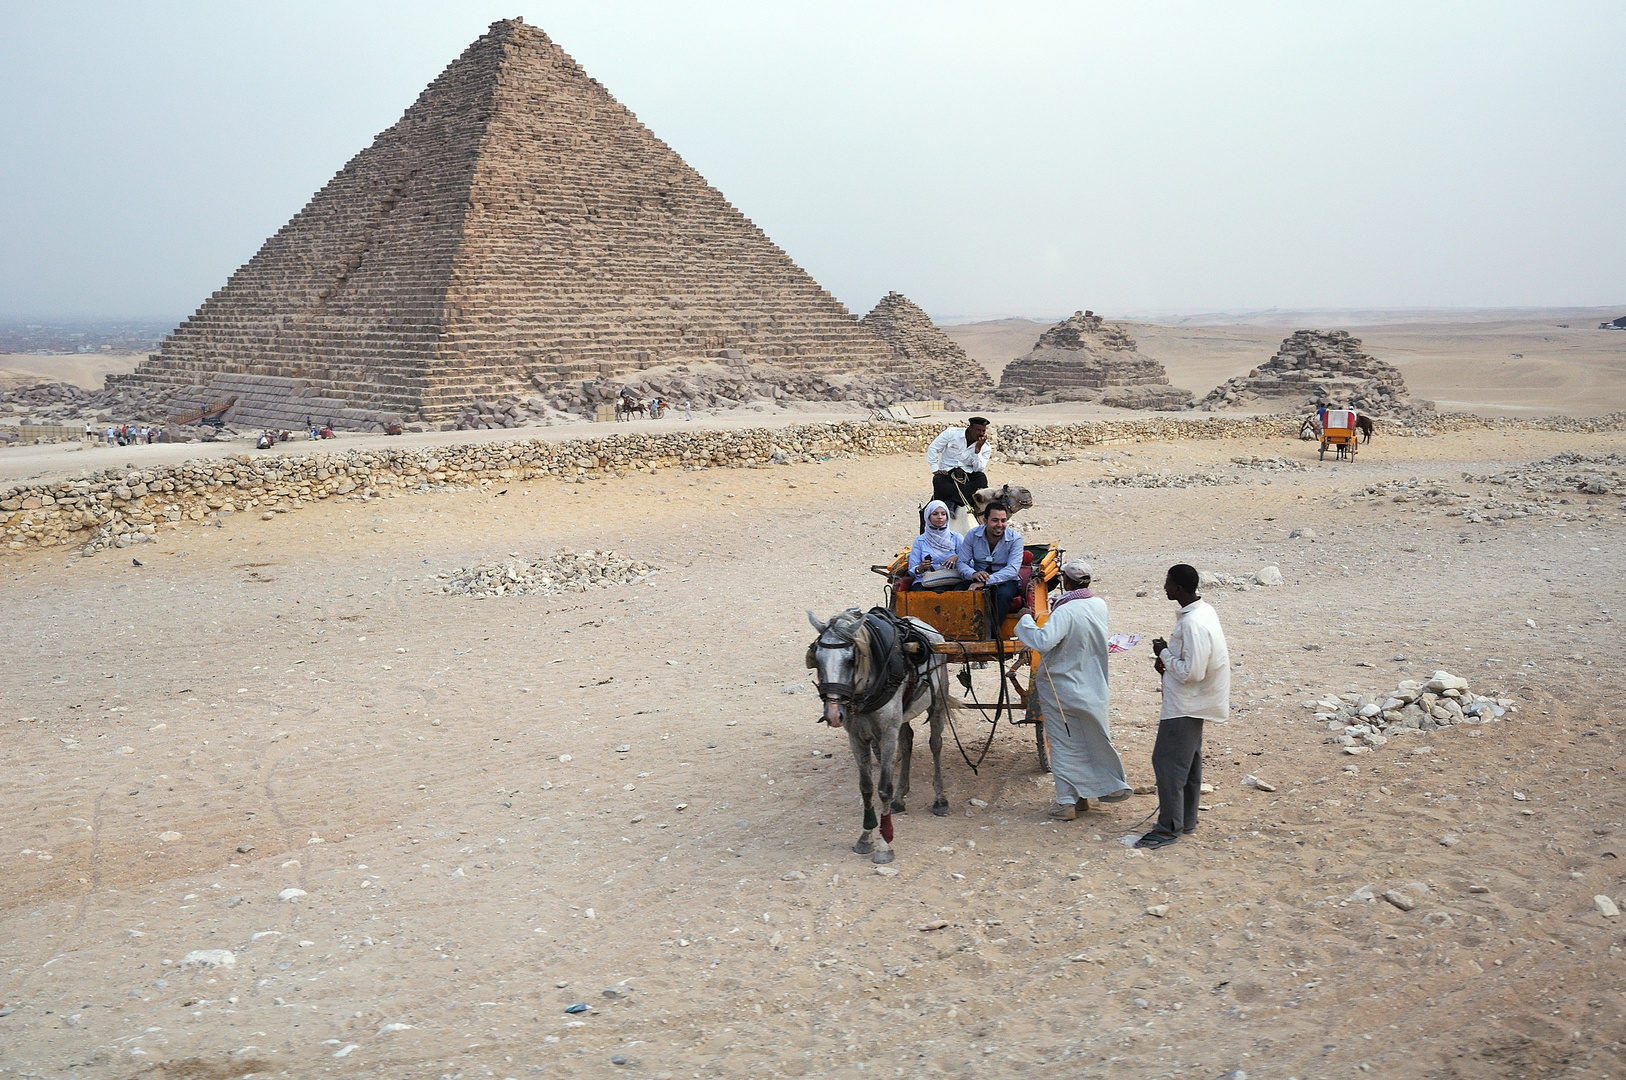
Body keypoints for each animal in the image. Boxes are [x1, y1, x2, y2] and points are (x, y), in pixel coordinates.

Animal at [809, 611, 949, 865]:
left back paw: (940, 799)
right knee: (907, 742)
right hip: (902, 717)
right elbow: (866, 787)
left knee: (936, 745)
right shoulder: (856, 738)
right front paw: (865, 838)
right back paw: (901, 798)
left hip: (937, 705)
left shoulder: (887, 734)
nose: (833, 714)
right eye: (818, 657)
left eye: (851, 659)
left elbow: (884, 787)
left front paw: (885, 845)